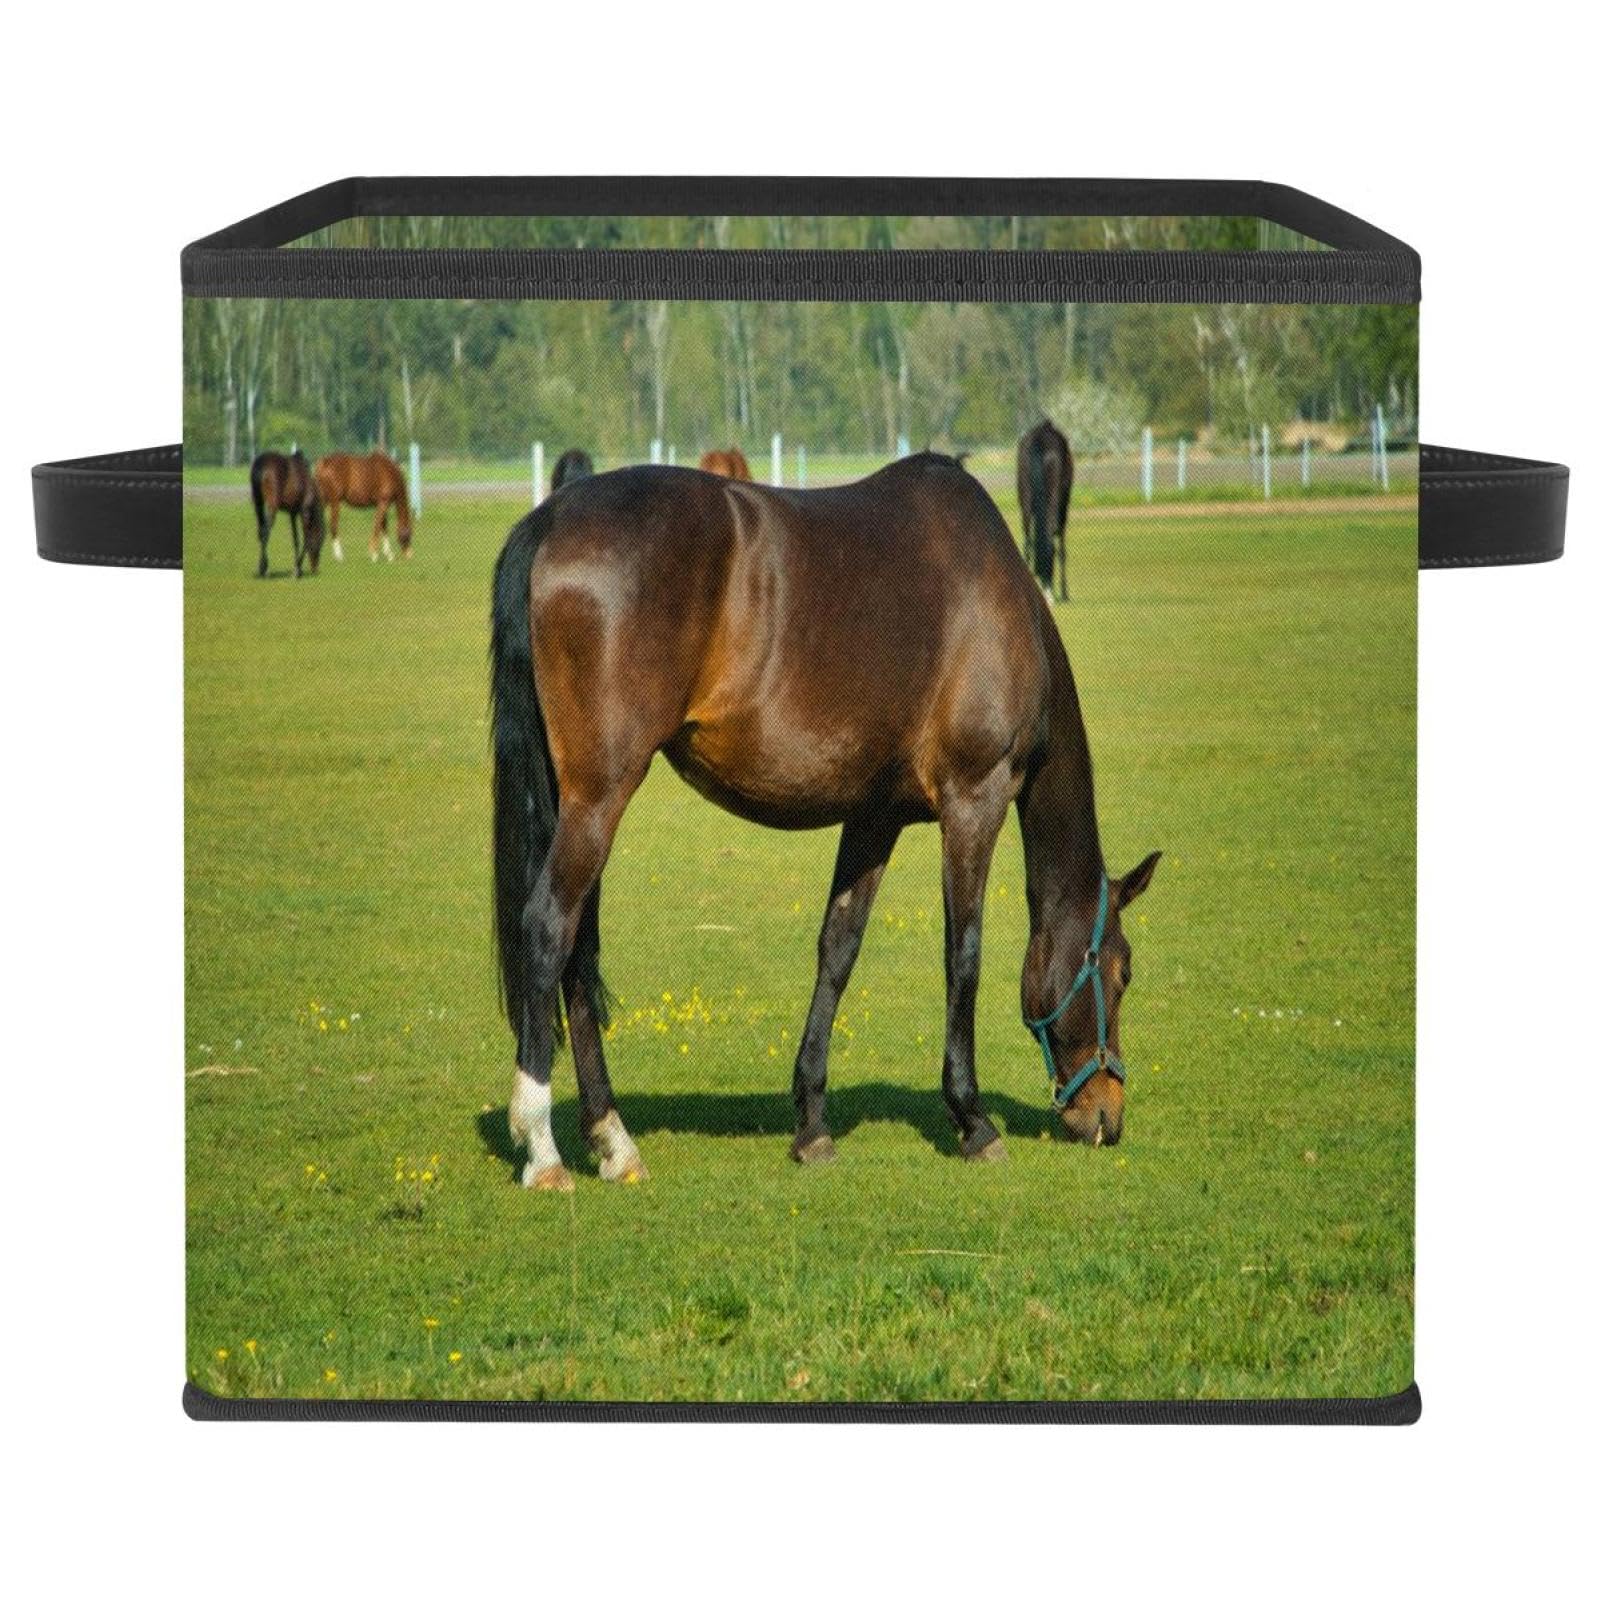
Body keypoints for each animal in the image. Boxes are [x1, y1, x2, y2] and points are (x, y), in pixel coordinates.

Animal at [249, 450, 324, 578]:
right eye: (319, 541)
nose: (315, 568)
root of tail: (261, 465)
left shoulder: (292, 513)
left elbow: (296, 539)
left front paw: (297, 568)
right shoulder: (304, 511)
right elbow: (306, 538)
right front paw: (297, 570)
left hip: (259, 504)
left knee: (261, 531)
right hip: (272, 506)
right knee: (266, 531)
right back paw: (264, 568)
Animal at [489, 454, 1159, 1191]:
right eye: (1122, 972)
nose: (1106, 1115)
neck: (995, 599)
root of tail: (553, 515)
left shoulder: (873, 817)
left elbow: (837, 950)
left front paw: (811, 1123)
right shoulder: (973, 803)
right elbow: (963, 958)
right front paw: (972, 1119)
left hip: (579, 800)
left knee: (578, 949)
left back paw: (612, 1138)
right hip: (599, 796)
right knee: (549, 929)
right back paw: (544, 1148)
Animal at [1017, 419, 1074, 601]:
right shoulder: (1063, 508)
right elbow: (1060, 546)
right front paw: (1063, 592)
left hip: (1026, 500)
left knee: (1028, 537)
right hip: (1056, 501)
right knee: (1051, 533)